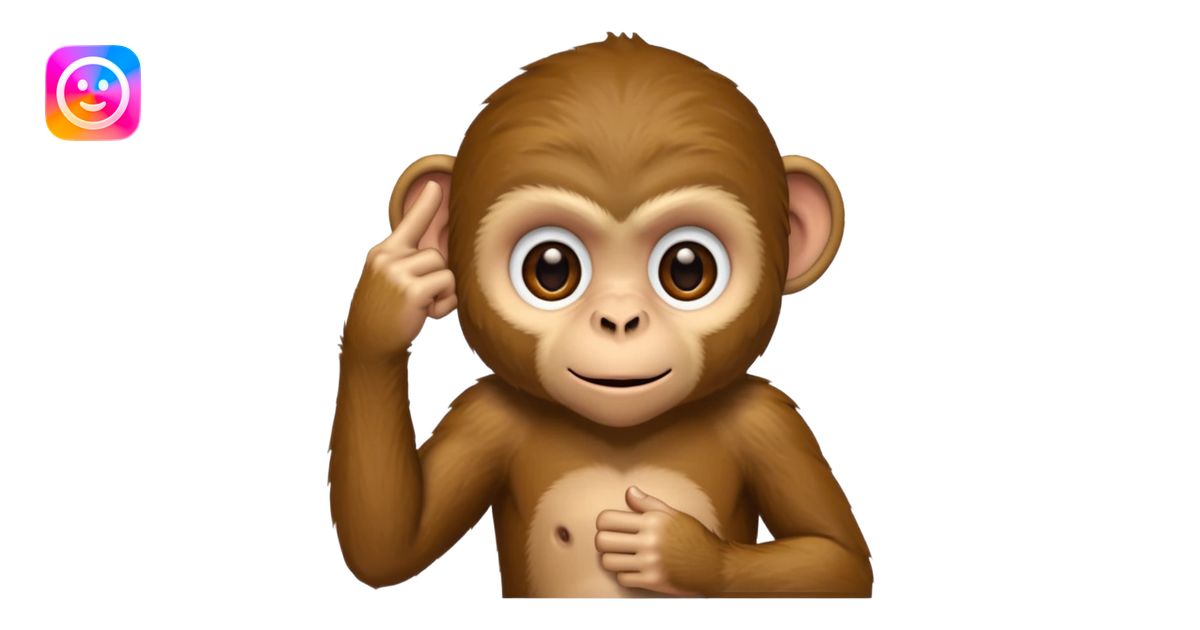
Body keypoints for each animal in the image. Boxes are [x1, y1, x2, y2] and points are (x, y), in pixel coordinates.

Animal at [328, 33, 871, 597]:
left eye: (687, 268)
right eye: (551, 268)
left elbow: (836, 561)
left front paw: (675, 550)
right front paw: (392, 298)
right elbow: (390, 547)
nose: (619, 320)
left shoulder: (768, 422)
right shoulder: (484, 415)